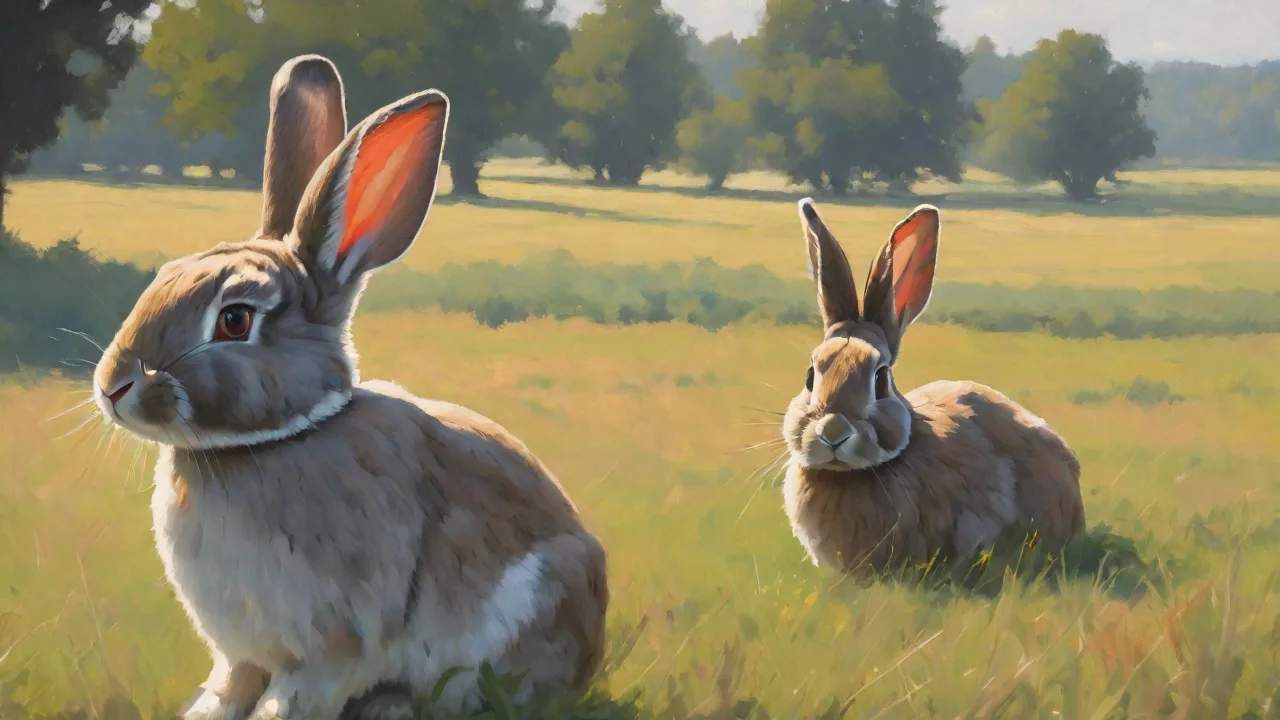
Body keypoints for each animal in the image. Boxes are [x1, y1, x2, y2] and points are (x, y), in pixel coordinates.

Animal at [91, 55, 608, 720]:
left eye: (234, 319)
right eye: (165, 275)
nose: (113, 387)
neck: (267, 444)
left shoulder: (336, 644)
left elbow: (292, 699)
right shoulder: (240, 654)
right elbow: (228, 688)